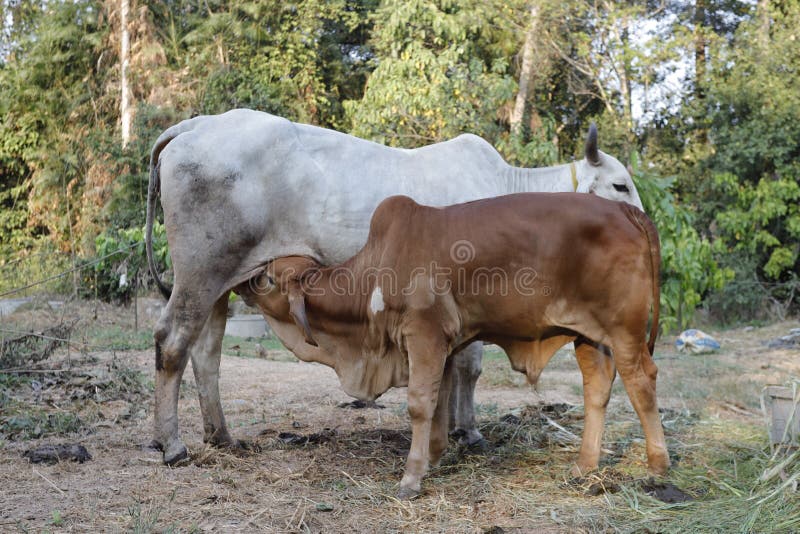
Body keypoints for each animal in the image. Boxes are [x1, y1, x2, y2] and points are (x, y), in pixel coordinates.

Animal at [146, 109, 645, 465]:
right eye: (620, 185)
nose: (639, 225)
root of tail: (197, 124)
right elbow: (470, 367)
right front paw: (471, 433)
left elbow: (459, 367)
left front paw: (457, 428)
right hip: (200, 271)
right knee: (173, 341)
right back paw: (172, 444)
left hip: (222, 281)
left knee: (206, 353)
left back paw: (222, 437)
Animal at [233, 192, 669, 498]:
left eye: (268, 278)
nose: (244, 279)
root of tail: (622, 208)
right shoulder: (441, 345)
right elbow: (439, 400)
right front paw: (434, 457)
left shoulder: (424, 335)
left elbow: (419, 404)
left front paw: (411, 477)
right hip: (589, 336)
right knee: (598, 389)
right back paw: (584, 465)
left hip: (624, 332)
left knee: (642, 382)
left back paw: (658, 466)